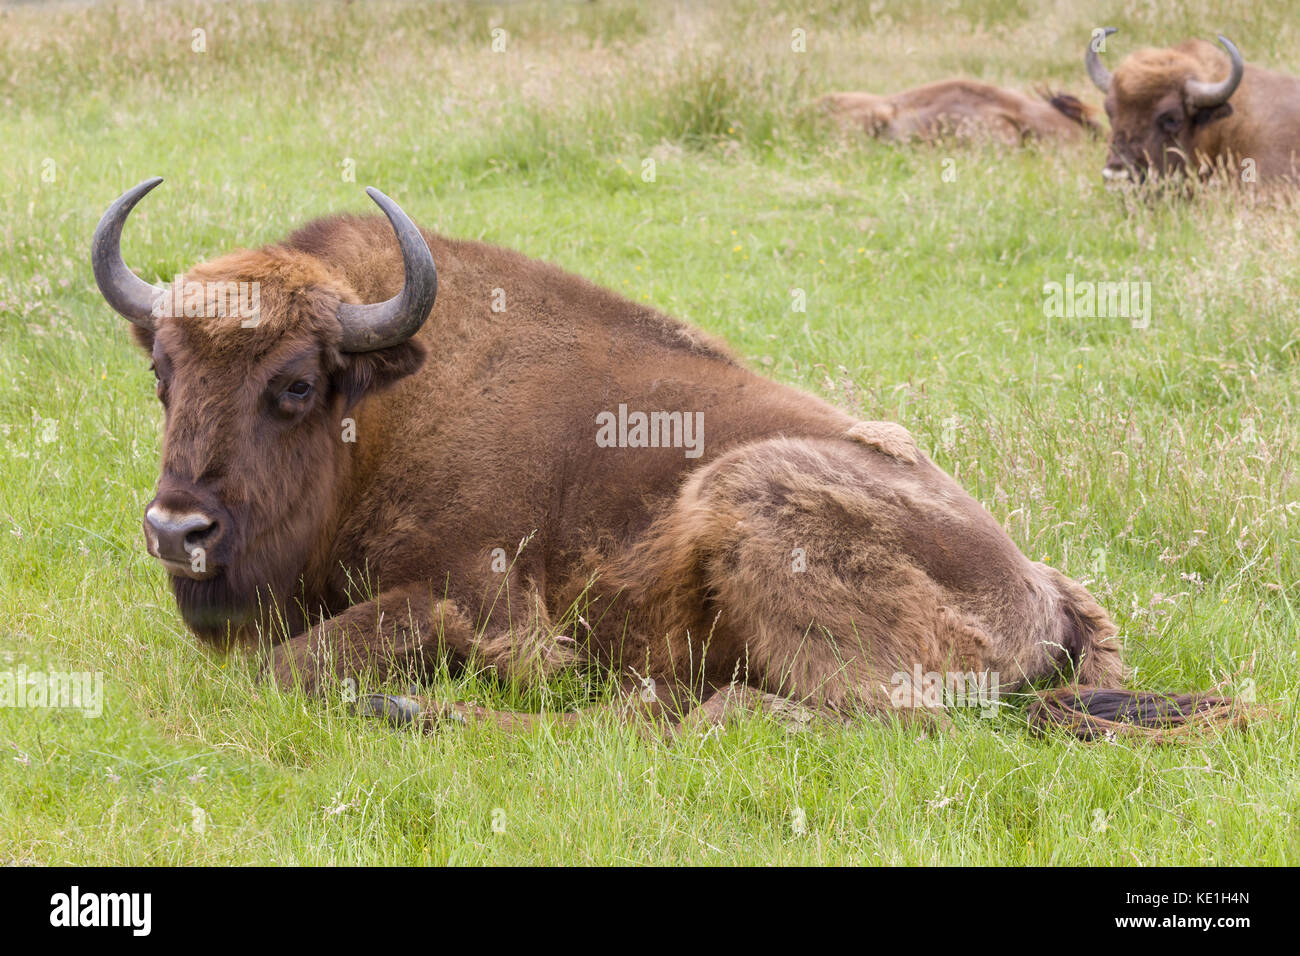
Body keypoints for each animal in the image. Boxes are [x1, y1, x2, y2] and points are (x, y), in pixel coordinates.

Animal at [92, 179, 1244, 740]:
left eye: (293, 383)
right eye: (161, 374)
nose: (177, 528)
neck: (385, 408)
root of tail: (1041, 587)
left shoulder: (471, 599)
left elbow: (293, 668)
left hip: (750, 497)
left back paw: (422, 712)